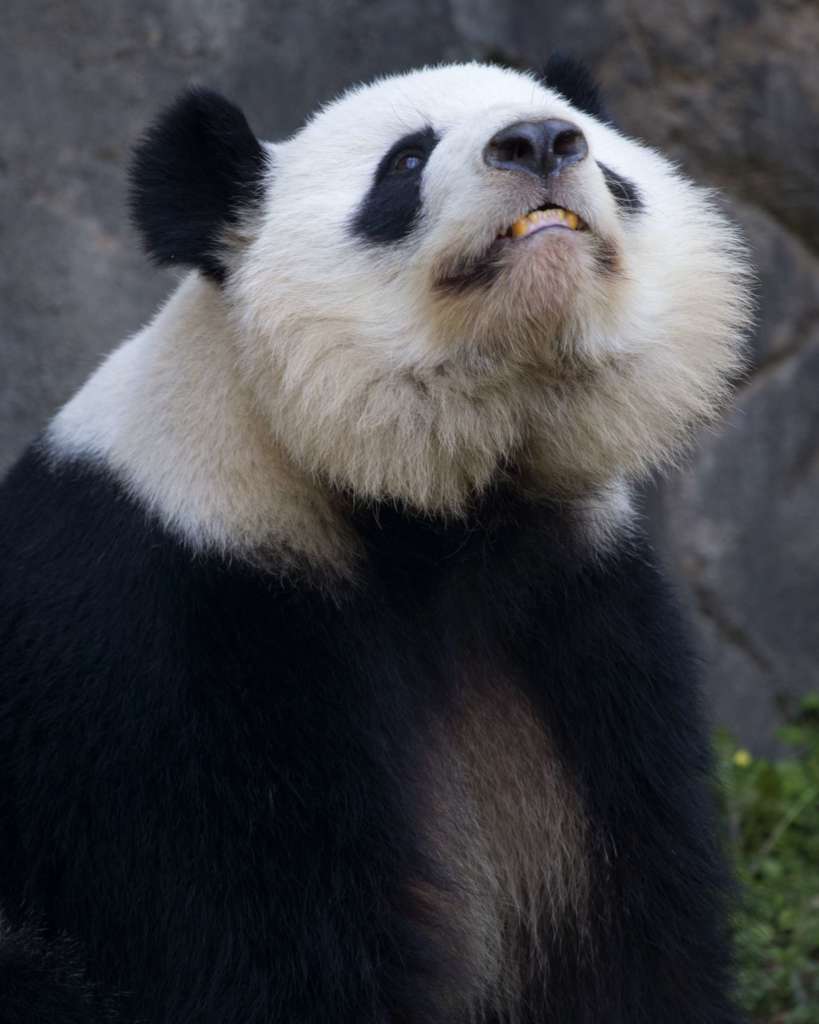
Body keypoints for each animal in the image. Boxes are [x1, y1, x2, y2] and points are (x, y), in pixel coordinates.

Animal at [0, 56, 750, 1023]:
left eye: (590, 144)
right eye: (405, 161)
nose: (539, 142)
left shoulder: (578, 620)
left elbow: (632, 923)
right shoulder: (178, 639)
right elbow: (270, 943)